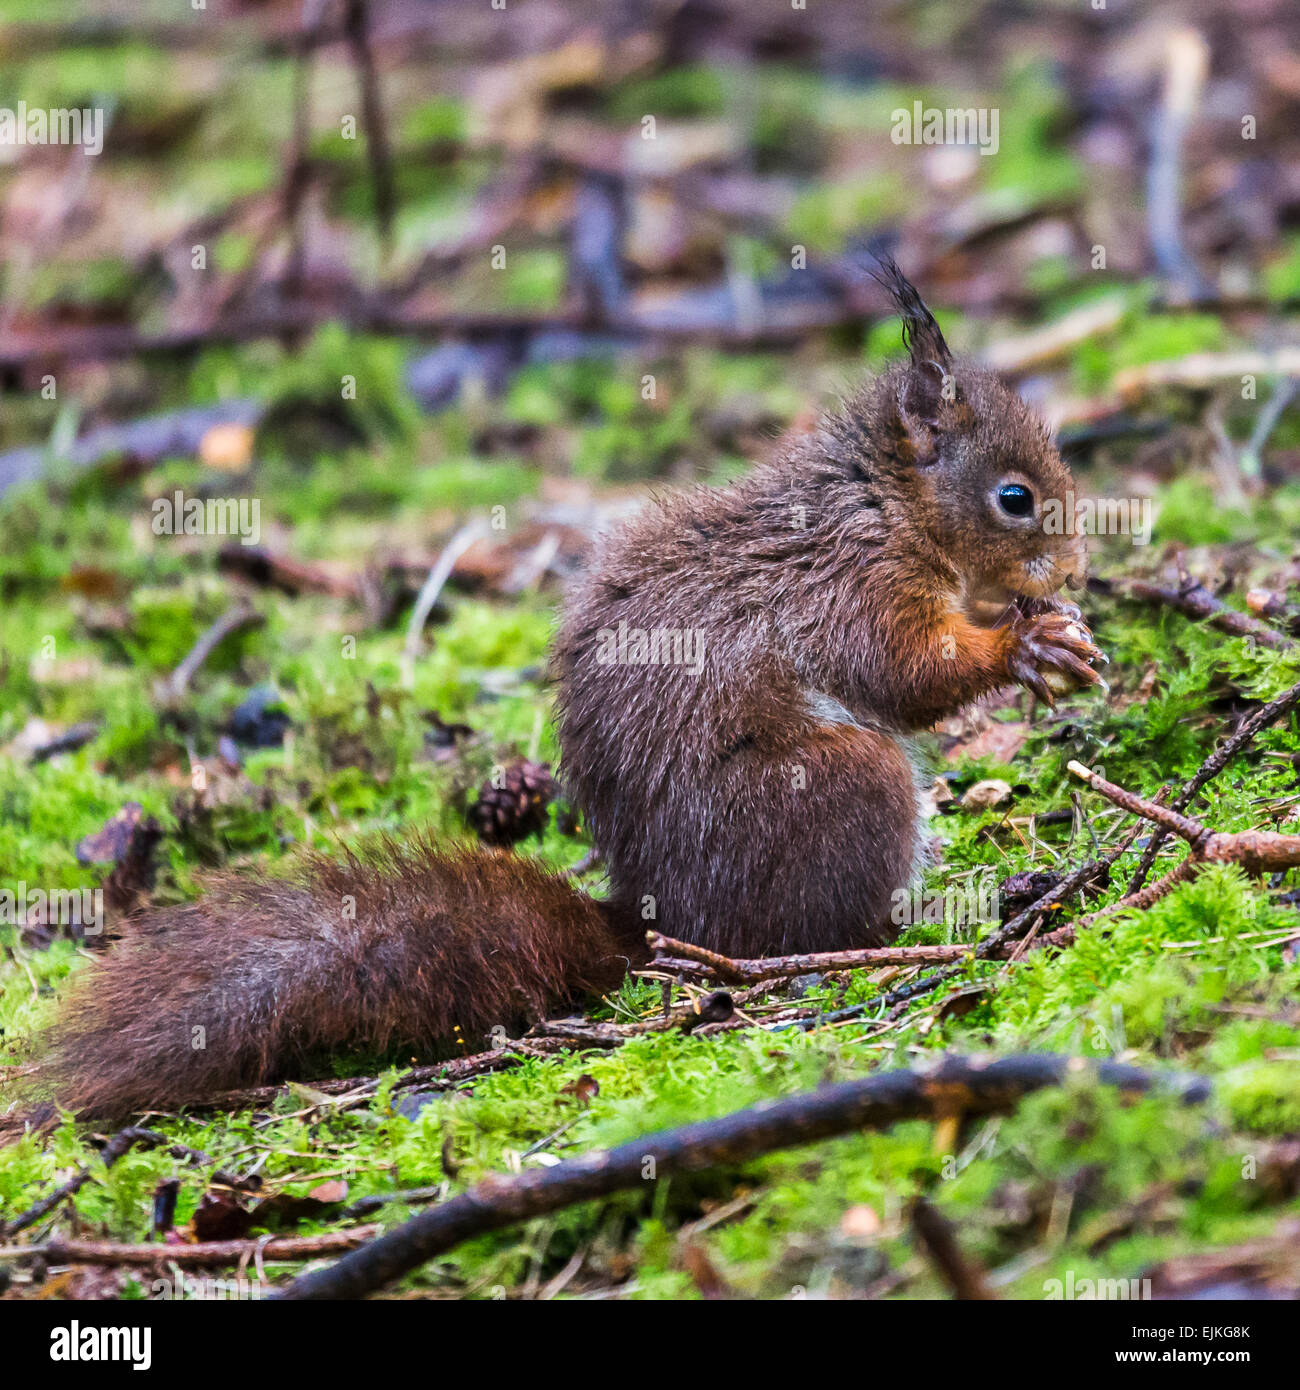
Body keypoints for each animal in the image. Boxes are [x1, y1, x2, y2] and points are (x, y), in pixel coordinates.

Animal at [5, 258, 1102, 1126]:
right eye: (1014, 497)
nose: (1078, 571)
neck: (881, 505)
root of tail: (661, 920)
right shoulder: (848, 590)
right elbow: (904, 675)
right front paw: (1023, 646)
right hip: (843, 787)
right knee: (811, 928)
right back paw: (909, 927)